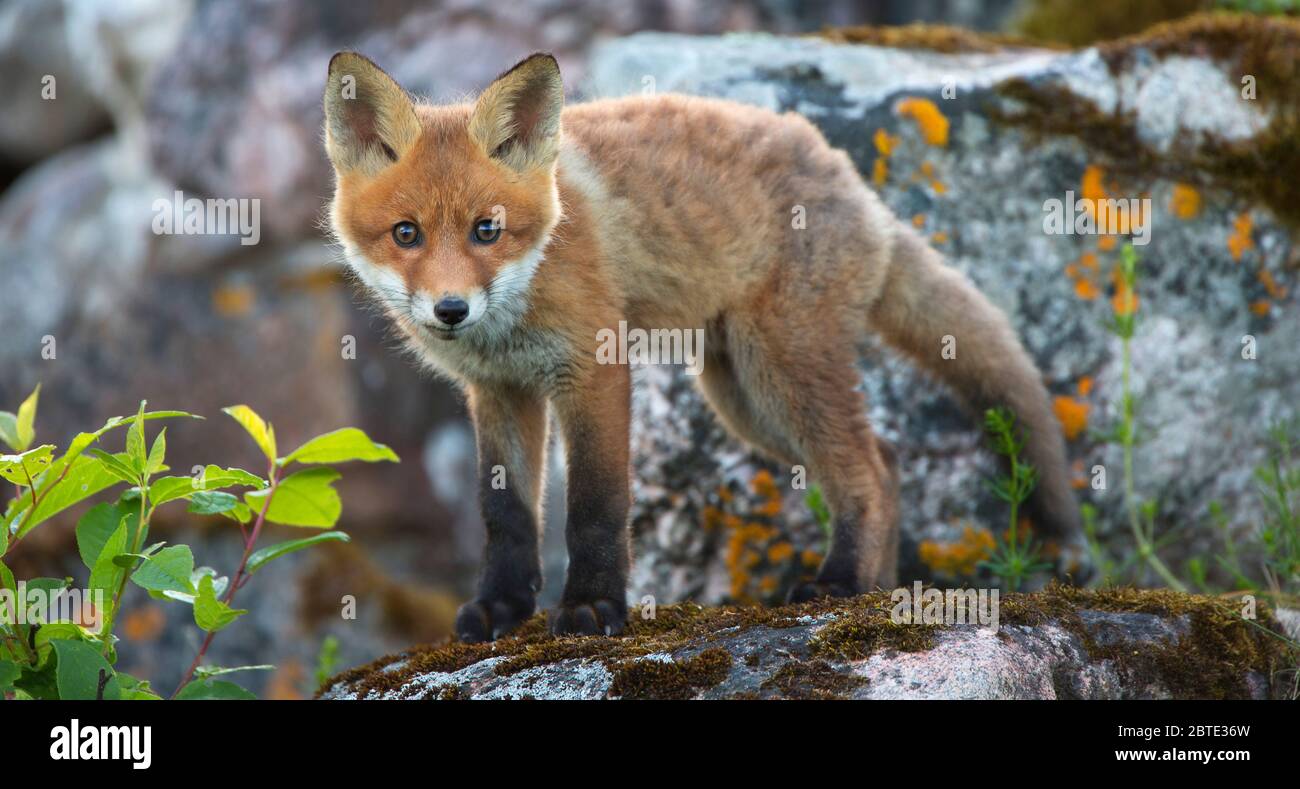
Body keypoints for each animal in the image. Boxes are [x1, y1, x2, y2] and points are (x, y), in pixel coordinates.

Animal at [321, 51, 1089, 642]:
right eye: (407, 234)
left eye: (487, 229)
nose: (451, 310)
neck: (526, 290)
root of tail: (852, 179)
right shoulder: (499, 390)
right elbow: (504, 515)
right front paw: (501, 608)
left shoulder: (594, 368)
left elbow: (596, 506)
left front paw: (593, 607)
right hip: (742, 398)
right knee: (889, 461)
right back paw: (876, 590)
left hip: (779, 370)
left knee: (866, 471)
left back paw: (839, 583)